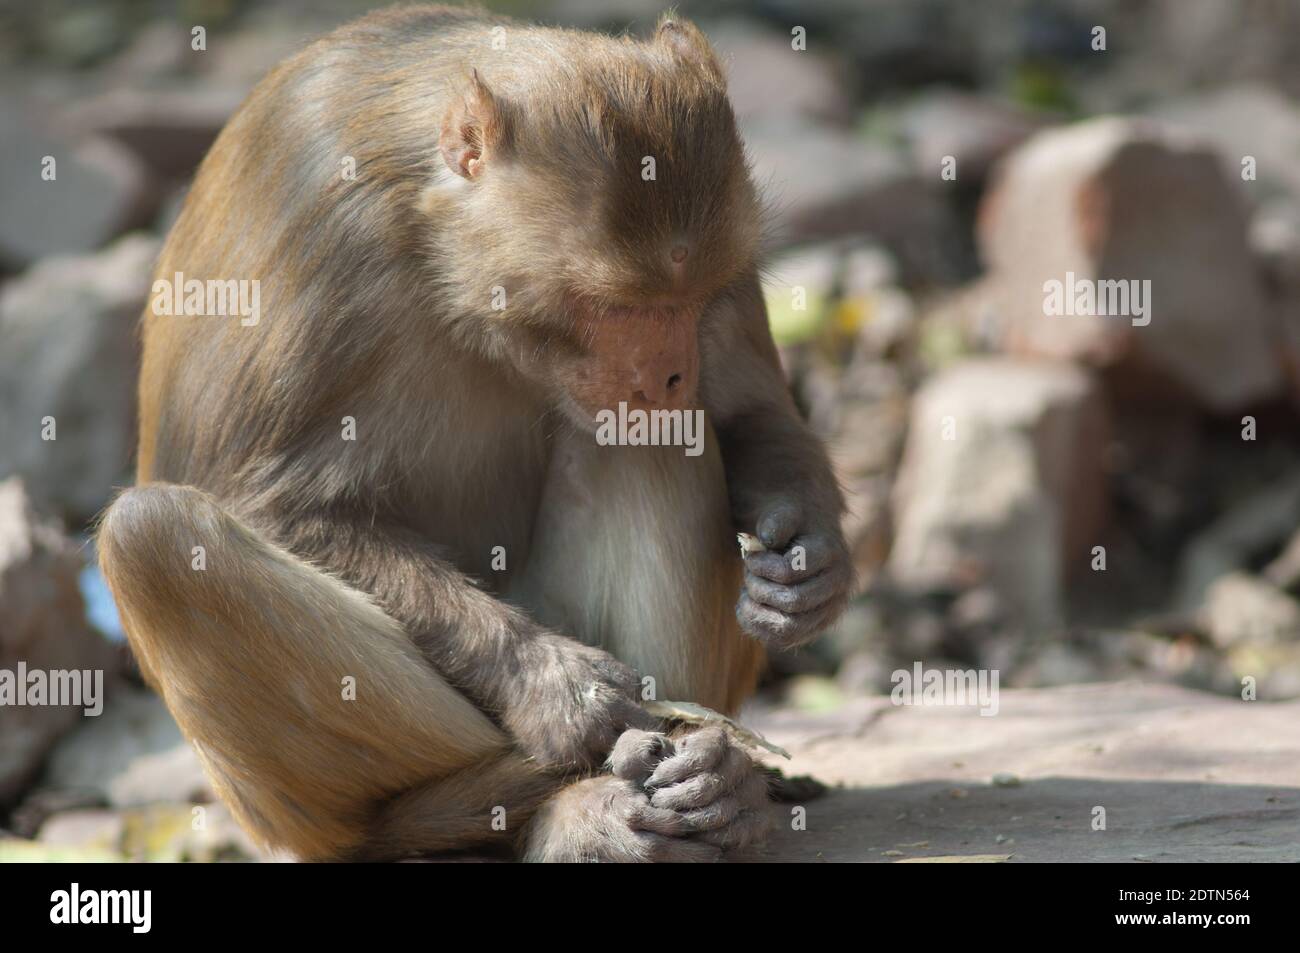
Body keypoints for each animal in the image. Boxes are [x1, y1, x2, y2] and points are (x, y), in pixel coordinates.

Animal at [96, 5, 852, 862]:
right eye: (612, 305)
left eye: (694, 297)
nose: (668, 374)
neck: (442, 252)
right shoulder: (323, 228)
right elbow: (264, 503)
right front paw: (553, 684)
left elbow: (752, 411)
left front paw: (810, 564)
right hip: (288, 818)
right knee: (153, 535)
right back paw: (549, 801)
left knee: (649, 431)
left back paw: (707, 771)